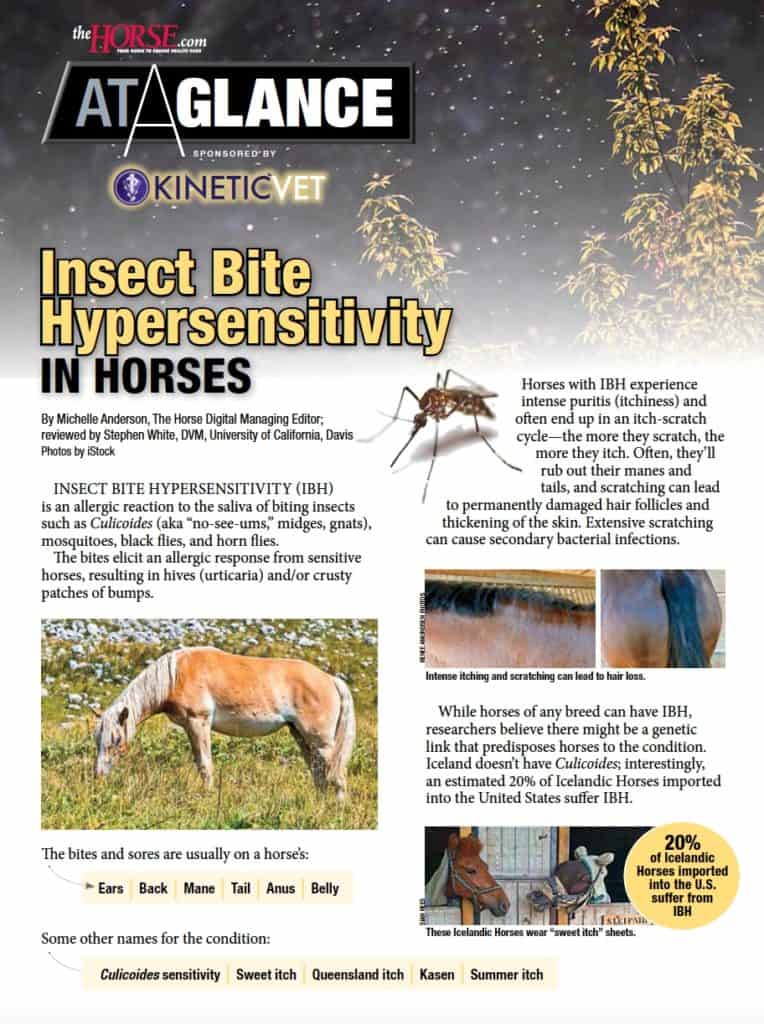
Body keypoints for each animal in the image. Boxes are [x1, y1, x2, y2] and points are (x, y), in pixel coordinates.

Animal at [93, 646, 355, 799]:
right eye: (98, 740)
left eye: (116, 739)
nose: (99, 776)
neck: (176, 675)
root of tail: (330, 679)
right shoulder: (190, 727)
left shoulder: (198, 723)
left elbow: (205, 765)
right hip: (300, 735)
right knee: (318, 772)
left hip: (322, 742)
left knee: (337, 773)